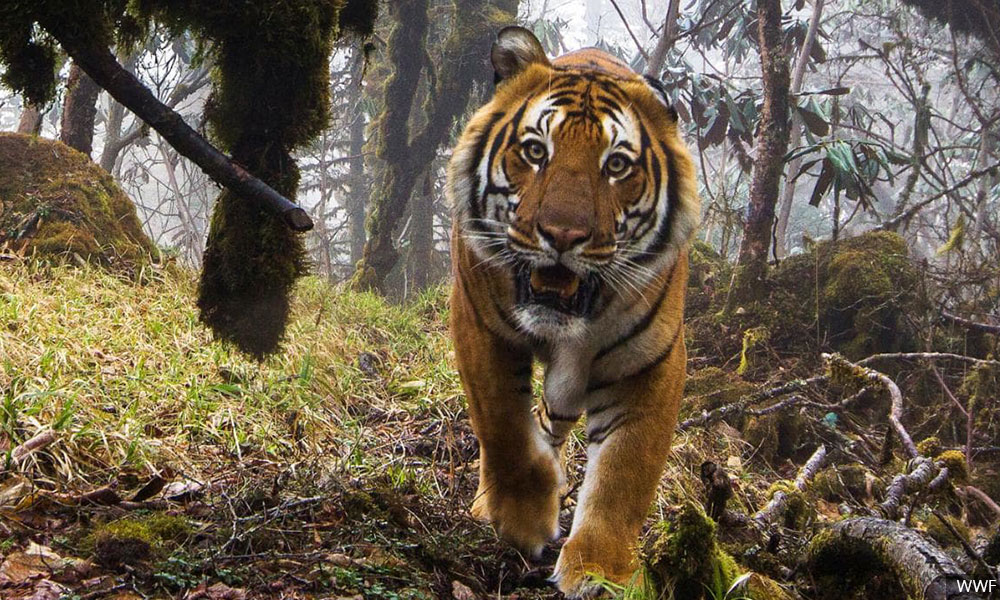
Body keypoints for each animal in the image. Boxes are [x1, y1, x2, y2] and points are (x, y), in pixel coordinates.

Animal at [447, 26, 701, 597]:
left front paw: (601, 572)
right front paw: (523, 520)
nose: (562, 235)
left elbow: (626, 473)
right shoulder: (479, 323)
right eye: (535, 151)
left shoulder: (650, 362)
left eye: (617, 165)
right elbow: (504, 427)